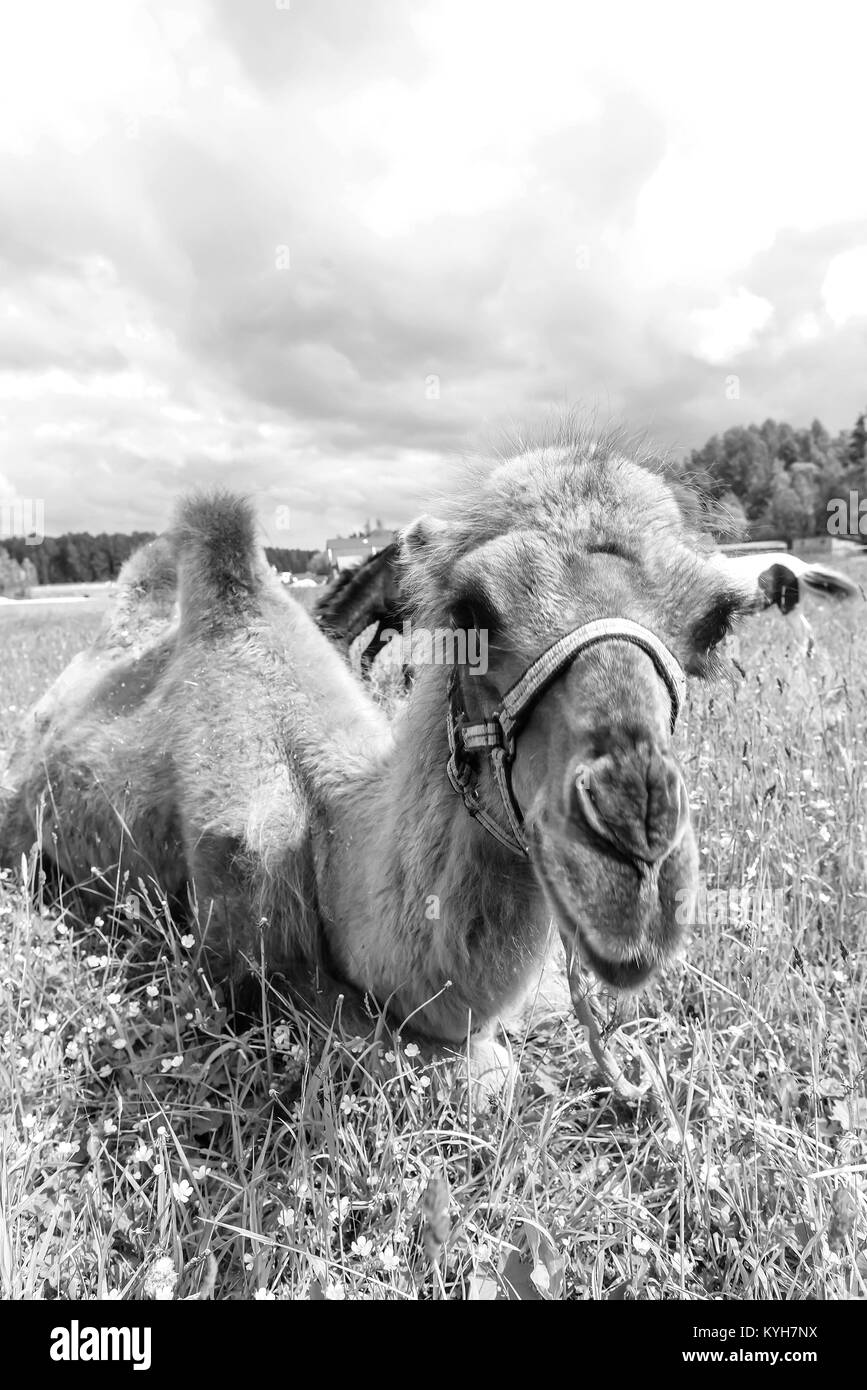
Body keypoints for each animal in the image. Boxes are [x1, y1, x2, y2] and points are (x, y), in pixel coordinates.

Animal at [0, 431, 827, 1075]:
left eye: (715, 623)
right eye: (470, 611)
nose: (635, 859)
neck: (333, 829)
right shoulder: (238, 962)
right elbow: (467, 1071)